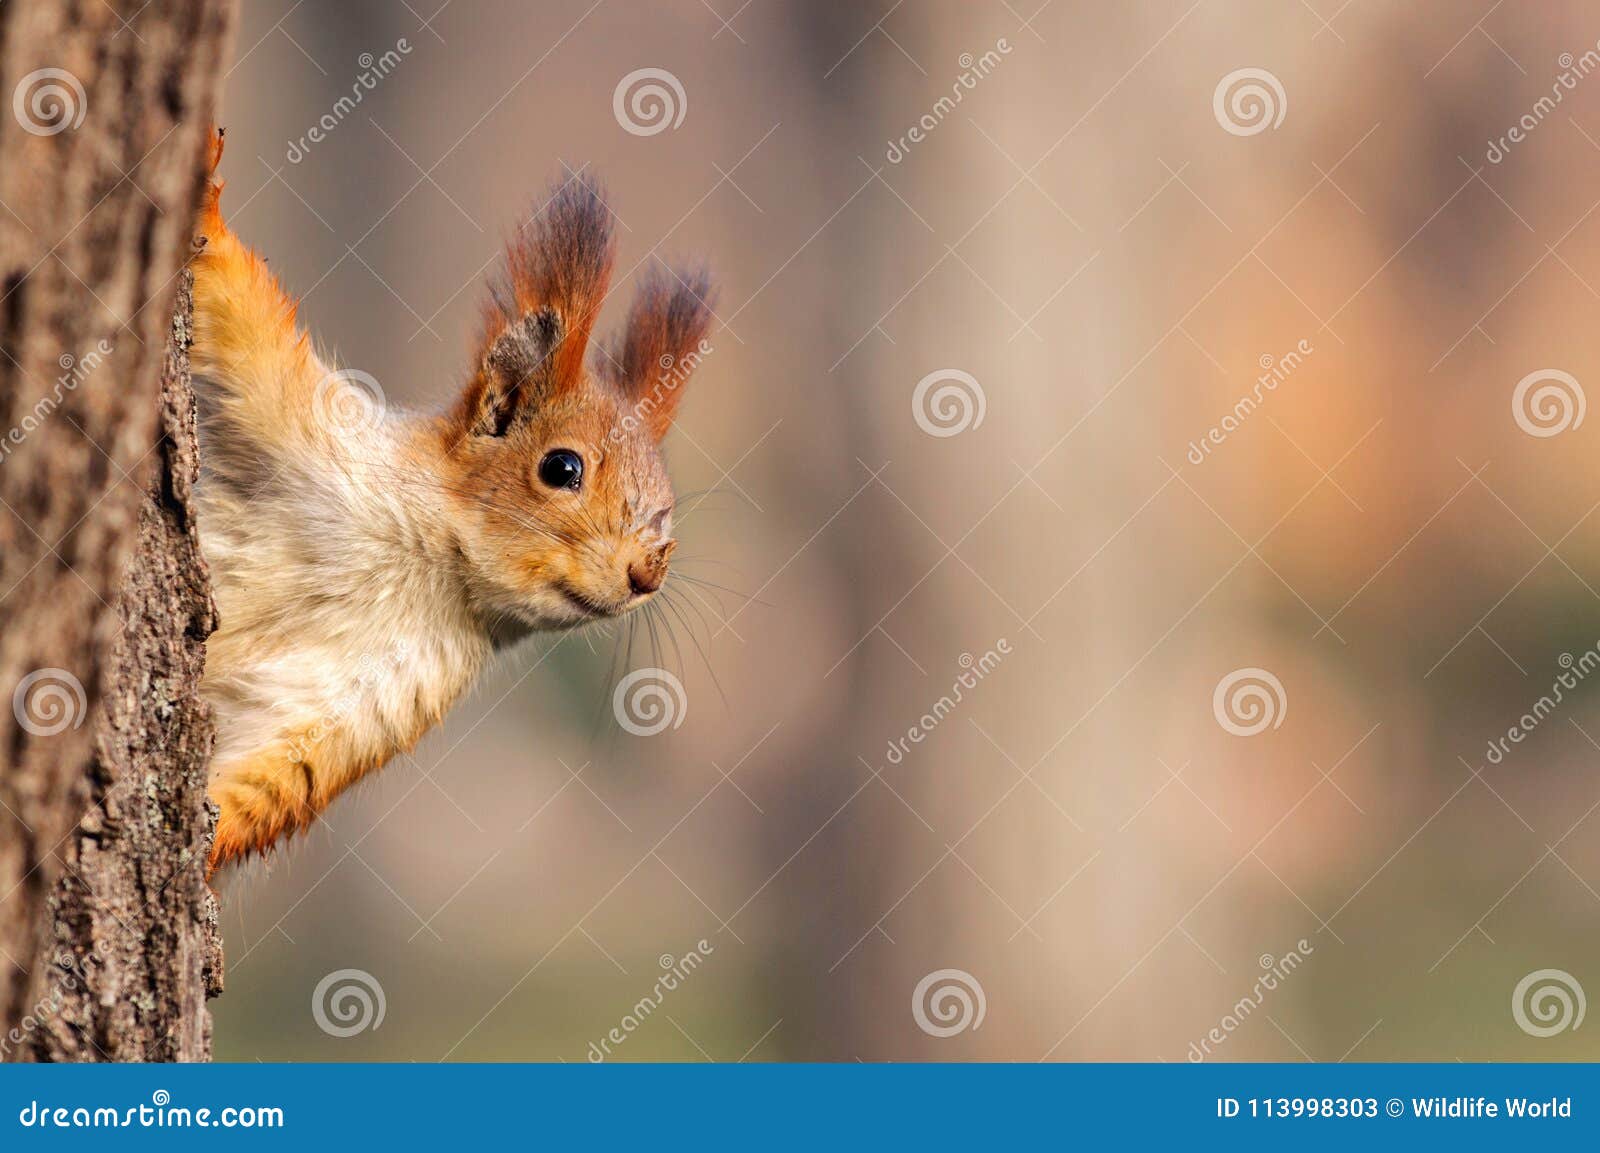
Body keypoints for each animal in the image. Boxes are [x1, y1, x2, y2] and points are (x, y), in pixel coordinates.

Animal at [190, 129, 713, 873]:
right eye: (562, 467)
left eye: (667, 519)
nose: (648, 573)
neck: (426, 567)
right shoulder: (309, 429)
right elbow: (244, 325)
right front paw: (203, 188)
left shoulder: (373, 703)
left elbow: (277, 781)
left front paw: (203, 841)